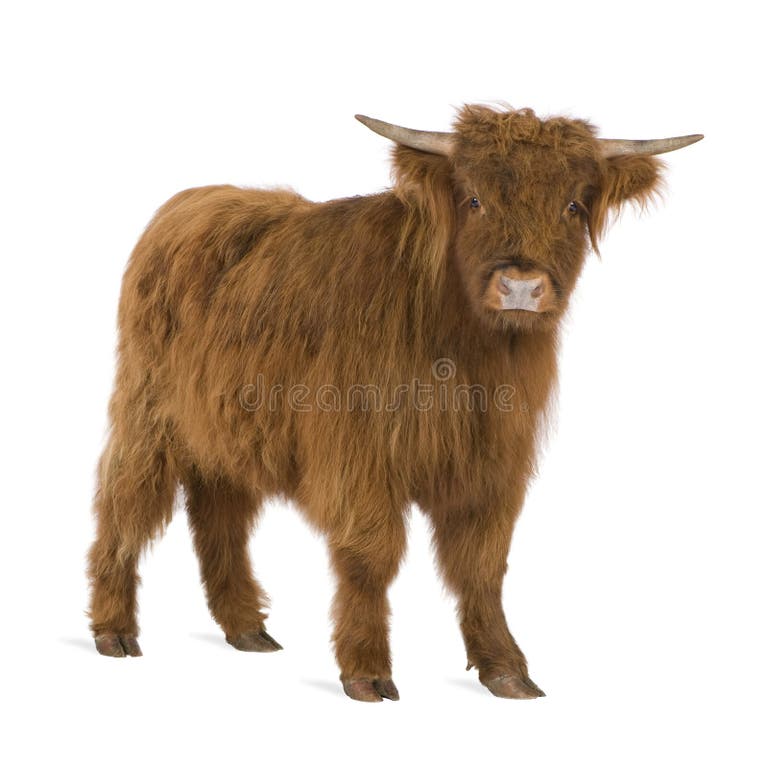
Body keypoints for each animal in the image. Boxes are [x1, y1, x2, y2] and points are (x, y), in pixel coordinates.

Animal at [87, 105, 701, 702]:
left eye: (573, 204)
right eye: (473, 199)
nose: (522, 287)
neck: (465, 349)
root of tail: (190, 201)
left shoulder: (493, 464)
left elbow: (483, 565)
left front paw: (506, 670)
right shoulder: (361, 456)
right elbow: (371, 555)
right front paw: (366, 670)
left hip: (226, 429)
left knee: (220, 513)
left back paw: (247, 629)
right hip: (147, 411)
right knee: (126, 500)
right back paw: (114, 631)